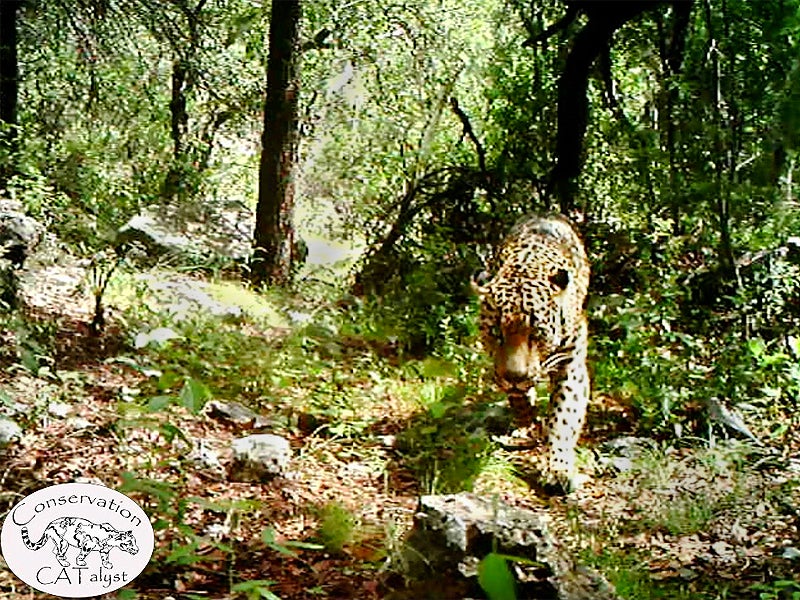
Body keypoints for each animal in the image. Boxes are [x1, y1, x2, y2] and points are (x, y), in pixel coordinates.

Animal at [473, 213, 590, 494]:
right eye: (496, 332)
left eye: (536, 333)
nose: (514, 377)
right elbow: (520, 401)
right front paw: (526, 425)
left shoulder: (571, 363)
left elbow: (564, 415)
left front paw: (557, 468)